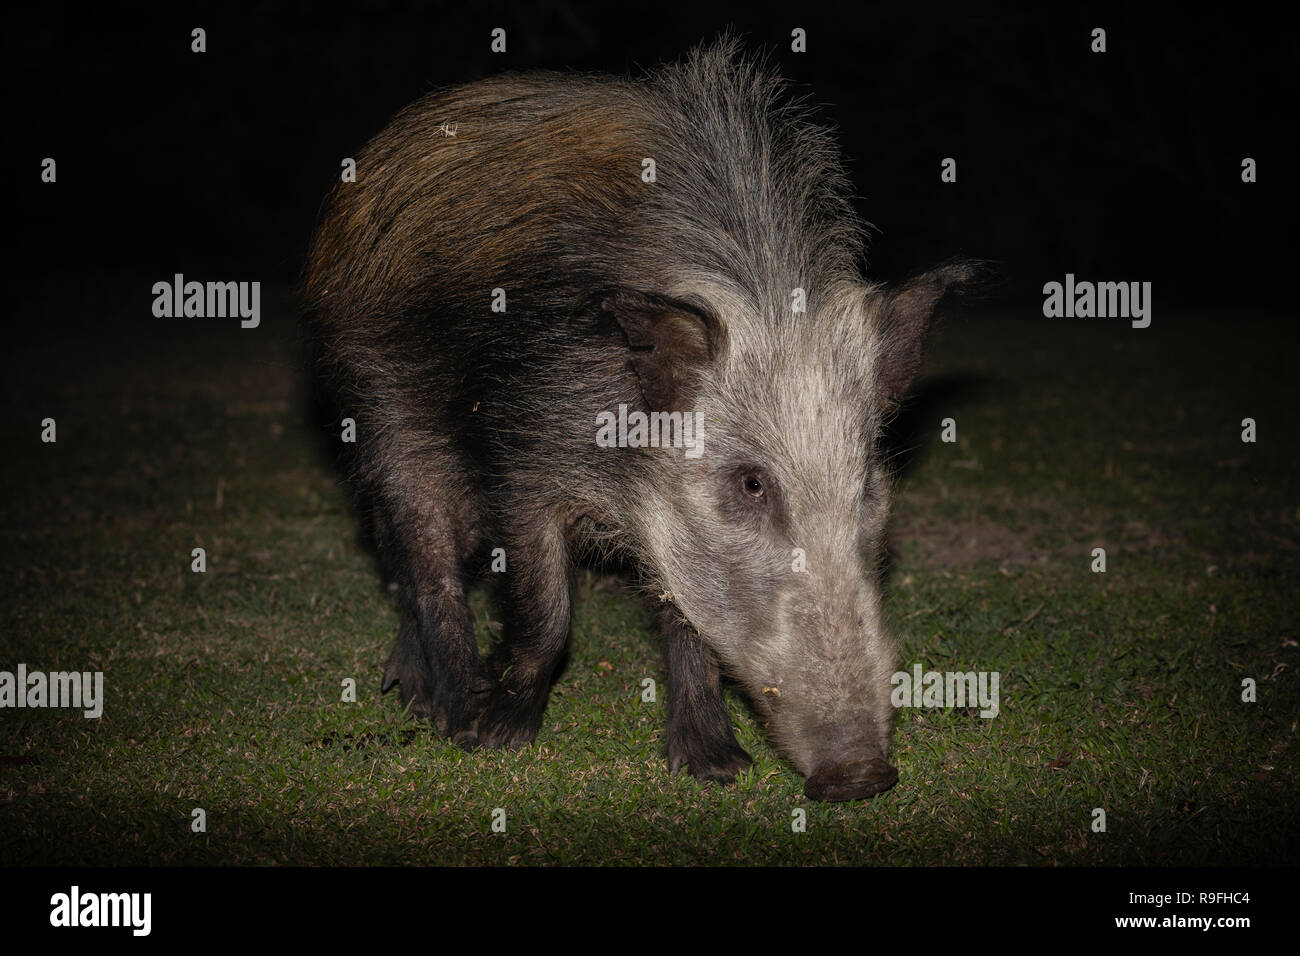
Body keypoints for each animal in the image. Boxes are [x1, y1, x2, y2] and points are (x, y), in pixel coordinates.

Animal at [301, 38, 972, 800]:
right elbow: (546, 610)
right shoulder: (527, 460)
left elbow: (686, 618)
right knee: (422, 549)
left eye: (866, 486)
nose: (861, 776)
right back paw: (435, 705)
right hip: (380, 403)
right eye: (751, 484)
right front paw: (493, 737)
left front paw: (716, 769)